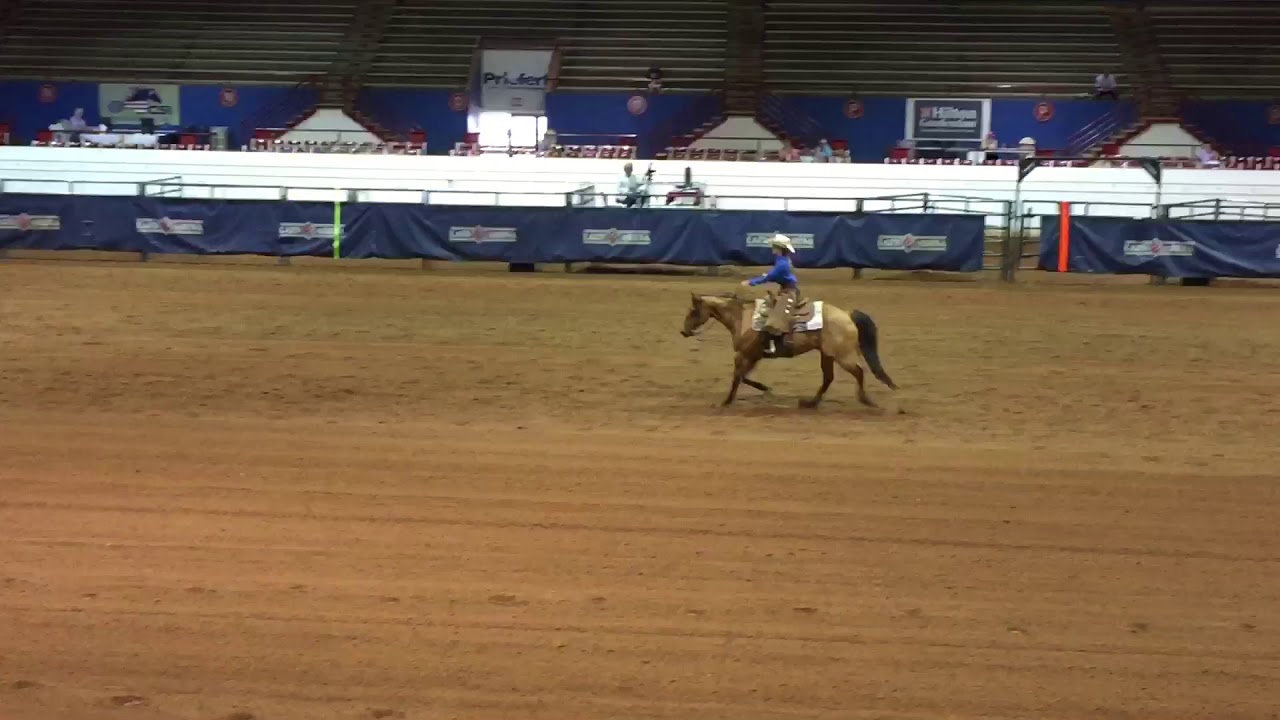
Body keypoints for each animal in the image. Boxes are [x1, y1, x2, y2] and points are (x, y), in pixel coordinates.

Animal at [680, 291, 897, 408]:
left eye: (693, 311)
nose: (683, 331)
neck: (742, 317)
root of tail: (847, 313)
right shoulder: (753, 356)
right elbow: (744, 377)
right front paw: (765, 389)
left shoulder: (743, 355)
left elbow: (738, 377)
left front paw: (727, 401)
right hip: (827, 355)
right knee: (828, 378)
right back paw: (810, 403)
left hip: (842, 356)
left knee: (858, 372)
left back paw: (865, 399)